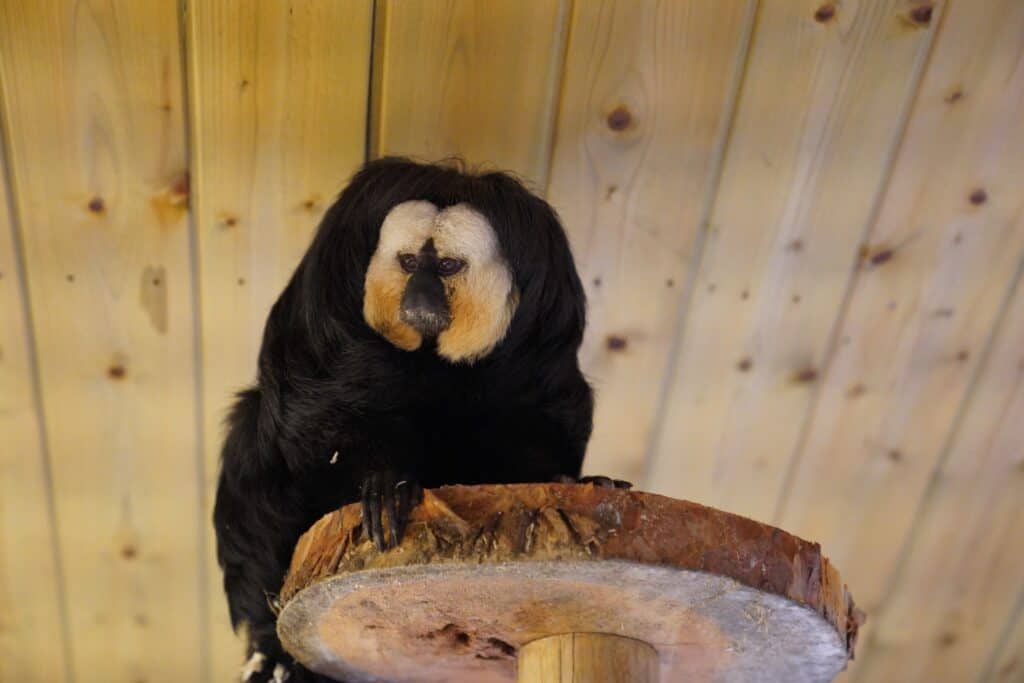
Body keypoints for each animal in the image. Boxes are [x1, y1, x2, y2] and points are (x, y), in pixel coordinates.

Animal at [213, 158, 628, 682]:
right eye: (410, 262)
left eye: (447, 267)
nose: (420, 298)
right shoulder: (328, 280)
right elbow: (315, 400)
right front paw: (385, 480)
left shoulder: (546, 311)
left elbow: (540, 409)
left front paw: (566, 481)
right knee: (251, 460)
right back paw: (274, 652)